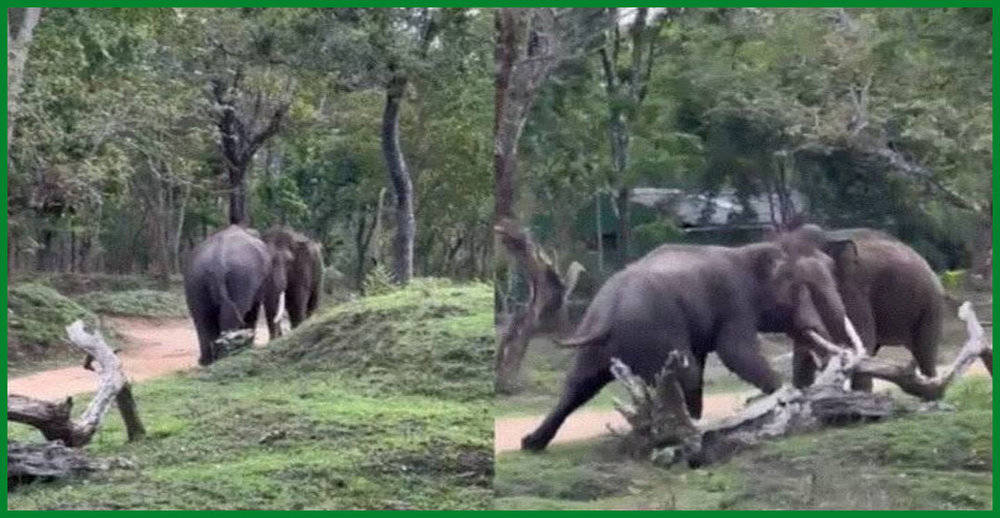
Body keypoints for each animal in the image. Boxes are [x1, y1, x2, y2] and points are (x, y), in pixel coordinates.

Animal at [184, 225, 278, 366]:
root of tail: (217, 262)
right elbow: (254, 309)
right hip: (240, 278)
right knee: (232, 315)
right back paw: (227, 356)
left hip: (195, 279)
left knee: (202, 317)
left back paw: (207, 361)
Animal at [521, 238, 850, 451]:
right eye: (797, 289)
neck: (745, 252)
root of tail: (607, 313)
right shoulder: (734, 301)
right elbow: (736, 353)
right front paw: (786, 396)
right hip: (653, 332)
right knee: (685, 372)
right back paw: (690, 431)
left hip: (599, 343)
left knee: (578, 385)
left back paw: (531, 444)